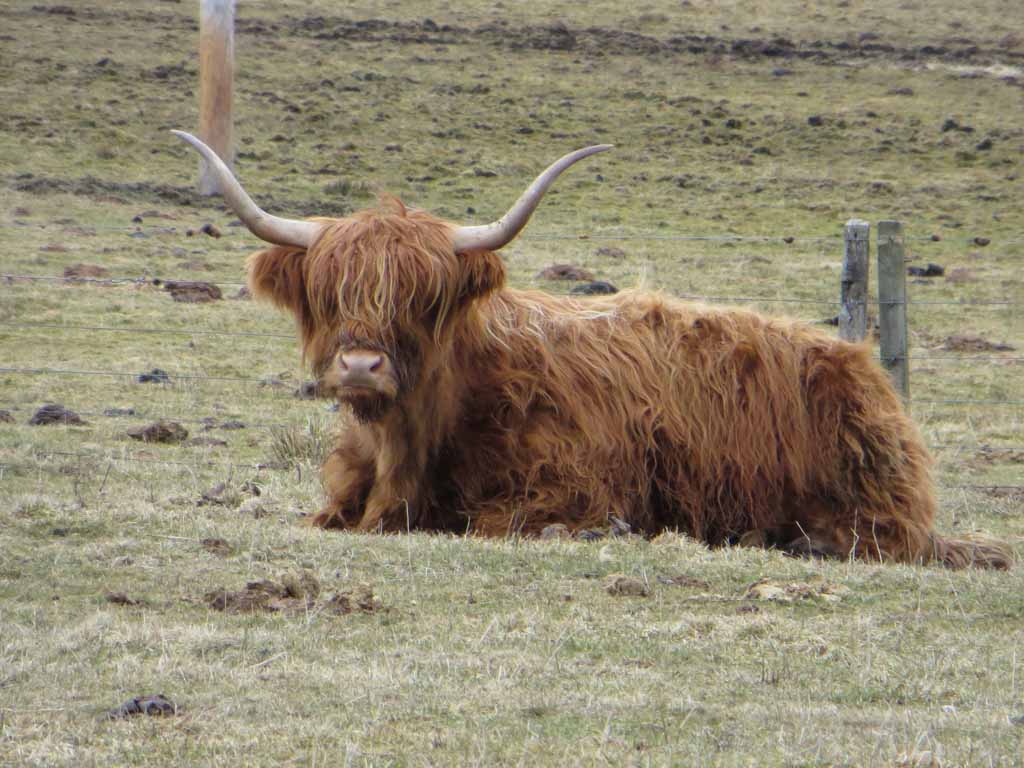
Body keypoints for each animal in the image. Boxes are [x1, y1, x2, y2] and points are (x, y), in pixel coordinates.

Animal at [173, 130, 1012, 569]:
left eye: (424, 295)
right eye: (330, 290)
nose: (359, 366)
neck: (406, 451)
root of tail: (860, 363)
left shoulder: (576, 485)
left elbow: (509, 524)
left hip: (865, 512)